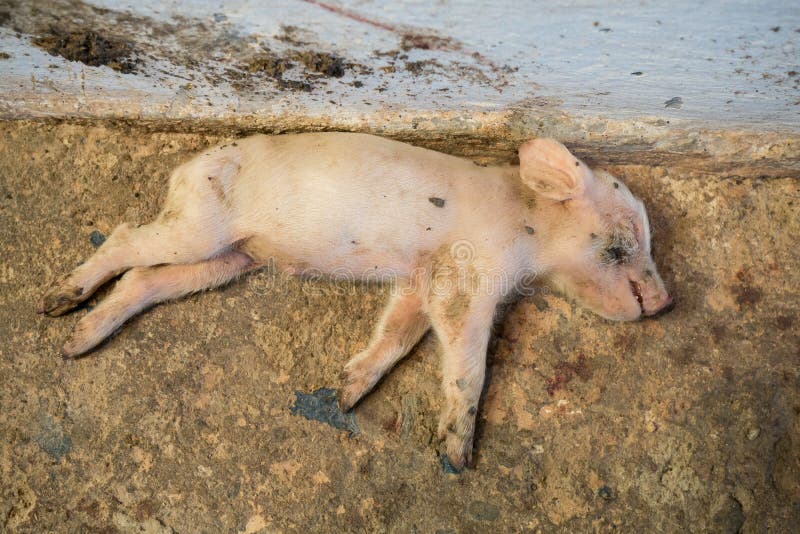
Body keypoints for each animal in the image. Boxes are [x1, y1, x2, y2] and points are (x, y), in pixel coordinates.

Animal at [38, 133, 672, 469]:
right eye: (621, 244)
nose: (665, 302)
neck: (528, 231)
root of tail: (185, 168)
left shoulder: (420, 278)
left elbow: (397, 334)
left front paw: (344, 396)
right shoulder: (468, 273)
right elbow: (466, 358)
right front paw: (457, 458)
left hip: (228, 260)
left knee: (142, 280)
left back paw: (74, 346)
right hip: (196, 227)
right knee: (125, 238)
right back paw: (55, 304)